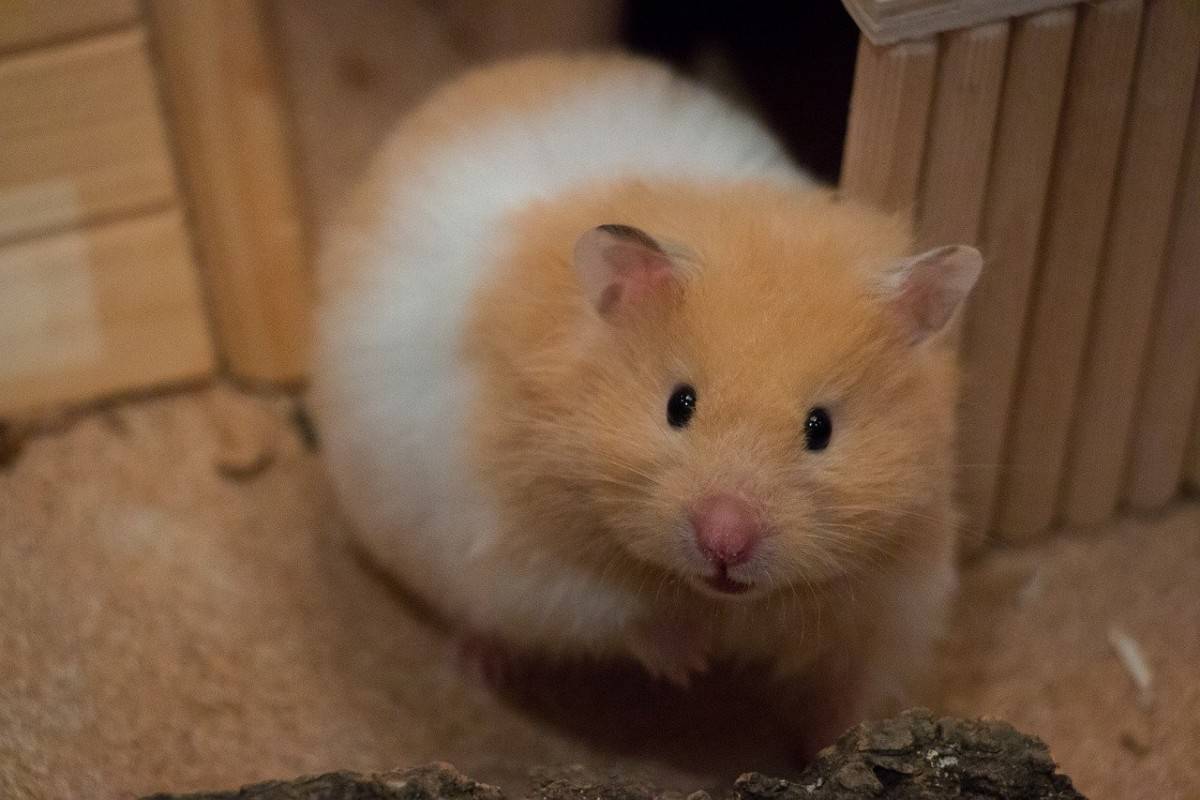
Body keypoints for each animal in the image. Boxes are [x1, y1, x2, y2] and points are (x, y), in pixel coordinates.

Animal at [310, 53, 981, 751]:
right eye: (678, 405)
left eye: (819, 428)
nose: (725, 541)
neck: (724, 600)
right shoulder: (529, 565)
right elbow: (618, 613)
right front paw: (692, 664)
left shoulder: (896, 597)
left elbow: (851, 687)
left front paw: (835, 742)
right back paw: (482, 665)